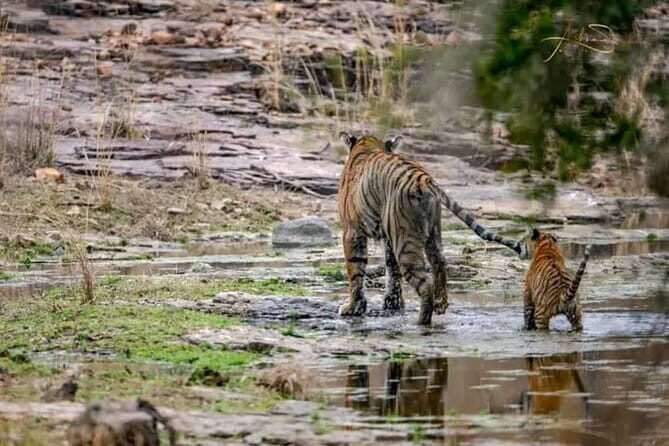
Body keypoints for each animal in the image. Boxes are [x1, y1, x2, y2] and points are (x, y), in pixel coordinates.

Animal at [337, 132, 525, 325]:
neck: (367, 145)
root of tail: (425, 180)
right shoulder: (388, 238)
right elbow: (392, 271)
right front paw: (393, 303)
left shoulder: (352, 232)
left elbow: (356, 271)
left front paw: (353, 308)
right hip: (432, 233)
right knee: (440, 261)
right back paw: (440, 304)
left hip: (406, 242)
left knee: (425, 283)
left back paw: (422, 321)